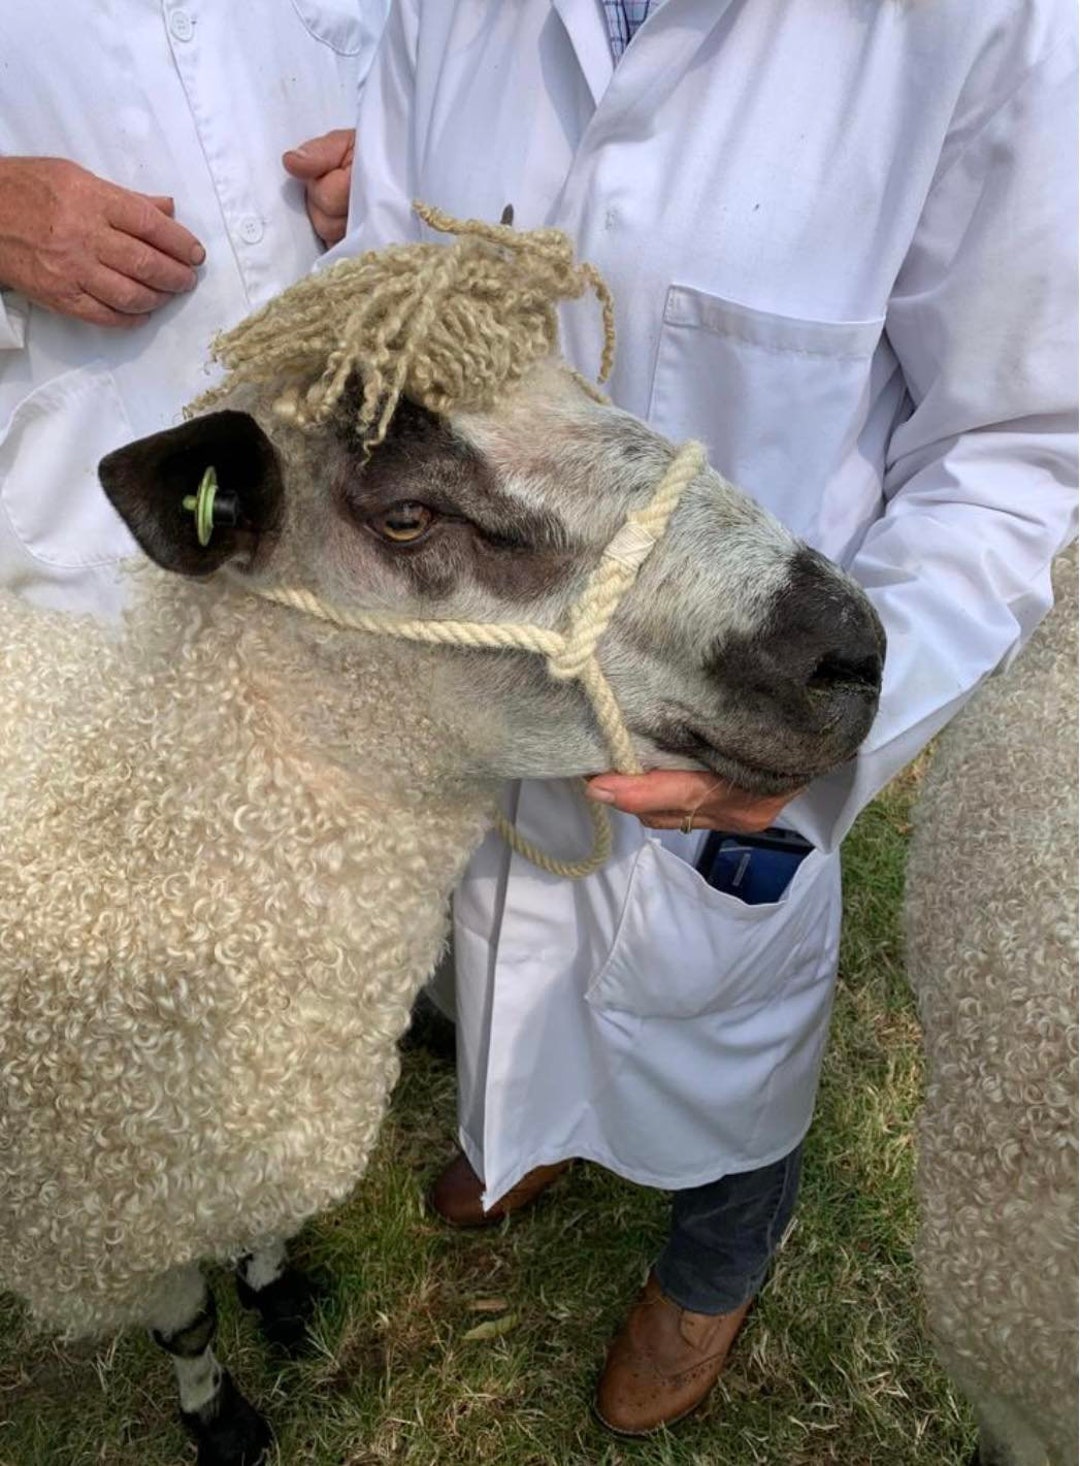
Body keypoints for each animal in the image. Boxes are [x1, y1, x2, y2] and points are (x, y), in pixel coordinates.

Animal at [0, 211, 885, 1465]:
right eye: (406, 514)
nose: (848, 650)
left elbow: (263, 1240)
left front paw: (286, 1296)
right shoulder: (108, 1210)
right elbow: (186, 1321)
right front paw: (221, 1414)